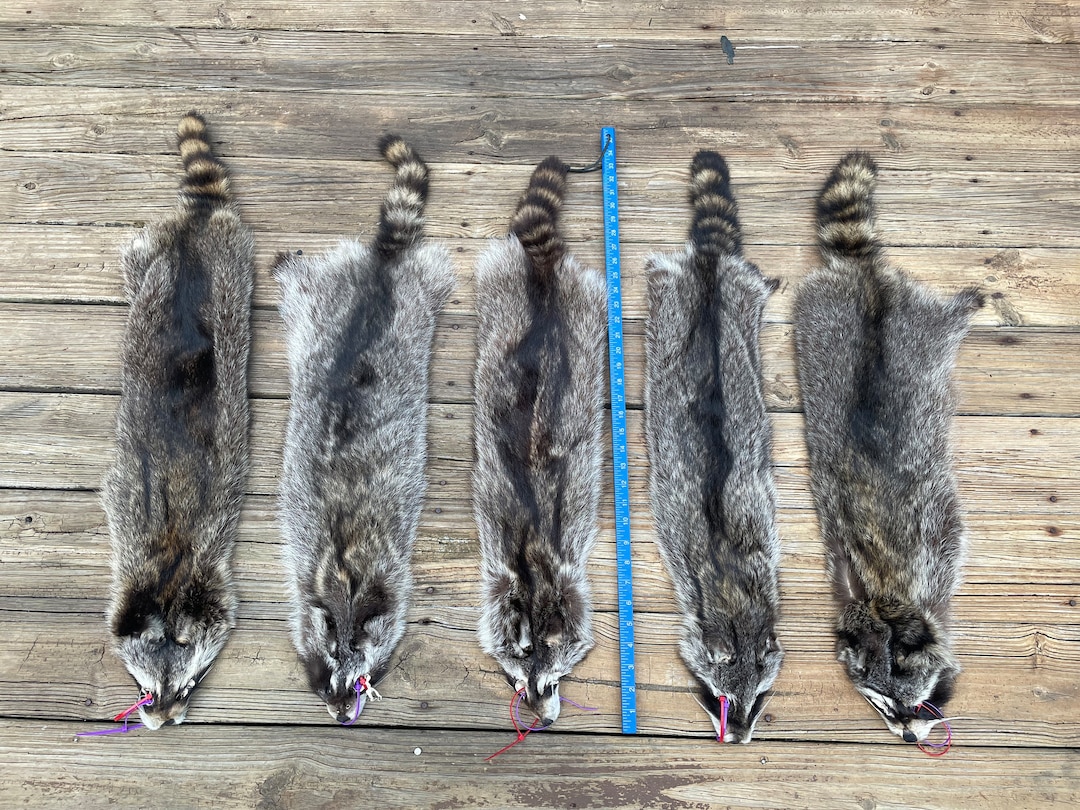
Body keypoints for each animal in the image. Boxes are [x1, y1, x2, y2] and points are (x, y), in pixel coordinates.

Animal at [273, 136, 454, 723]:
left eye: (358, 678)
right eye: (328, 668)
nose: (337, 709)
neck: (350, 580)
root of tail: (382, 269)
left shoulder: (391, 573)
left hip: (413, 295)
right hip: (326, 299)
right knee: (302, 285)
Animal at [793, 152, 982, 743]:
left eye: (909, 701)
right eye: (883, 704)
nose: (907, 735)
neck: (883, 598)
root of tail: (862, 279)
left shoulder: (935, 541)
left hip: (915, 323)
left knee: (941, 319)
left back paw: (962, 307)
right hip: (816, 317)